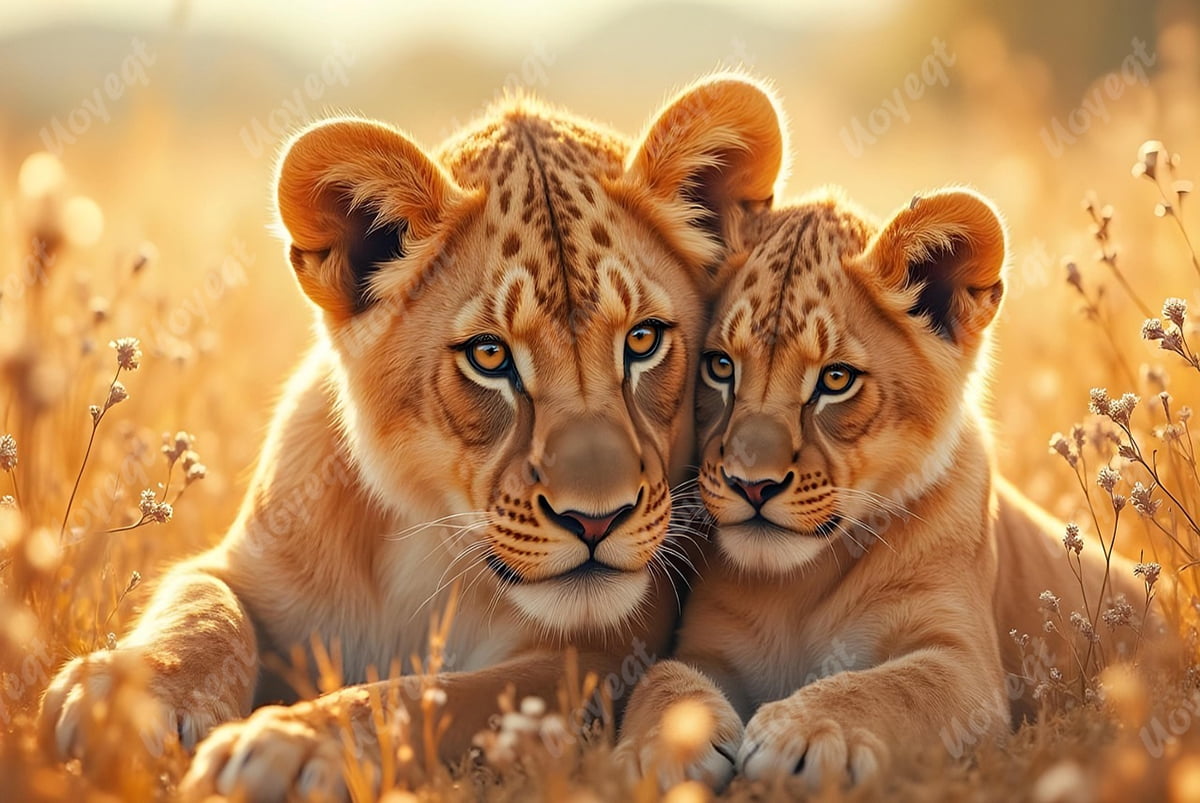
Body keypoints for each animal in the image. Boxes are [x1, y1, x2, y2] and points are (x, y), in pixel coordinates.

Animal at [38, 76, 785, 800]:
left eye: (642, 340)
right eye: (489, 356)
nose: (595, 520)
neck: (425, 546)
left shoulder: (595, 656)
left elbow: (429, 694)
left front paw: (291, 743)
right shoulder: (238, 567)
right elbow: (201, 608)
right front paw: (121, 700)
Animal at [616, 188, 1160, 790]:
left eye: (836, 379)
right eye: (719, 366)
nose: (749, 484)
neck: (797, 588)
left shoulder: (966, 665)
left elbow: (892, 687)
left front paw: (802, 731)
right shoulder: (709, 647)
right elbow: (664, 676)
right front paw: (659, 748)